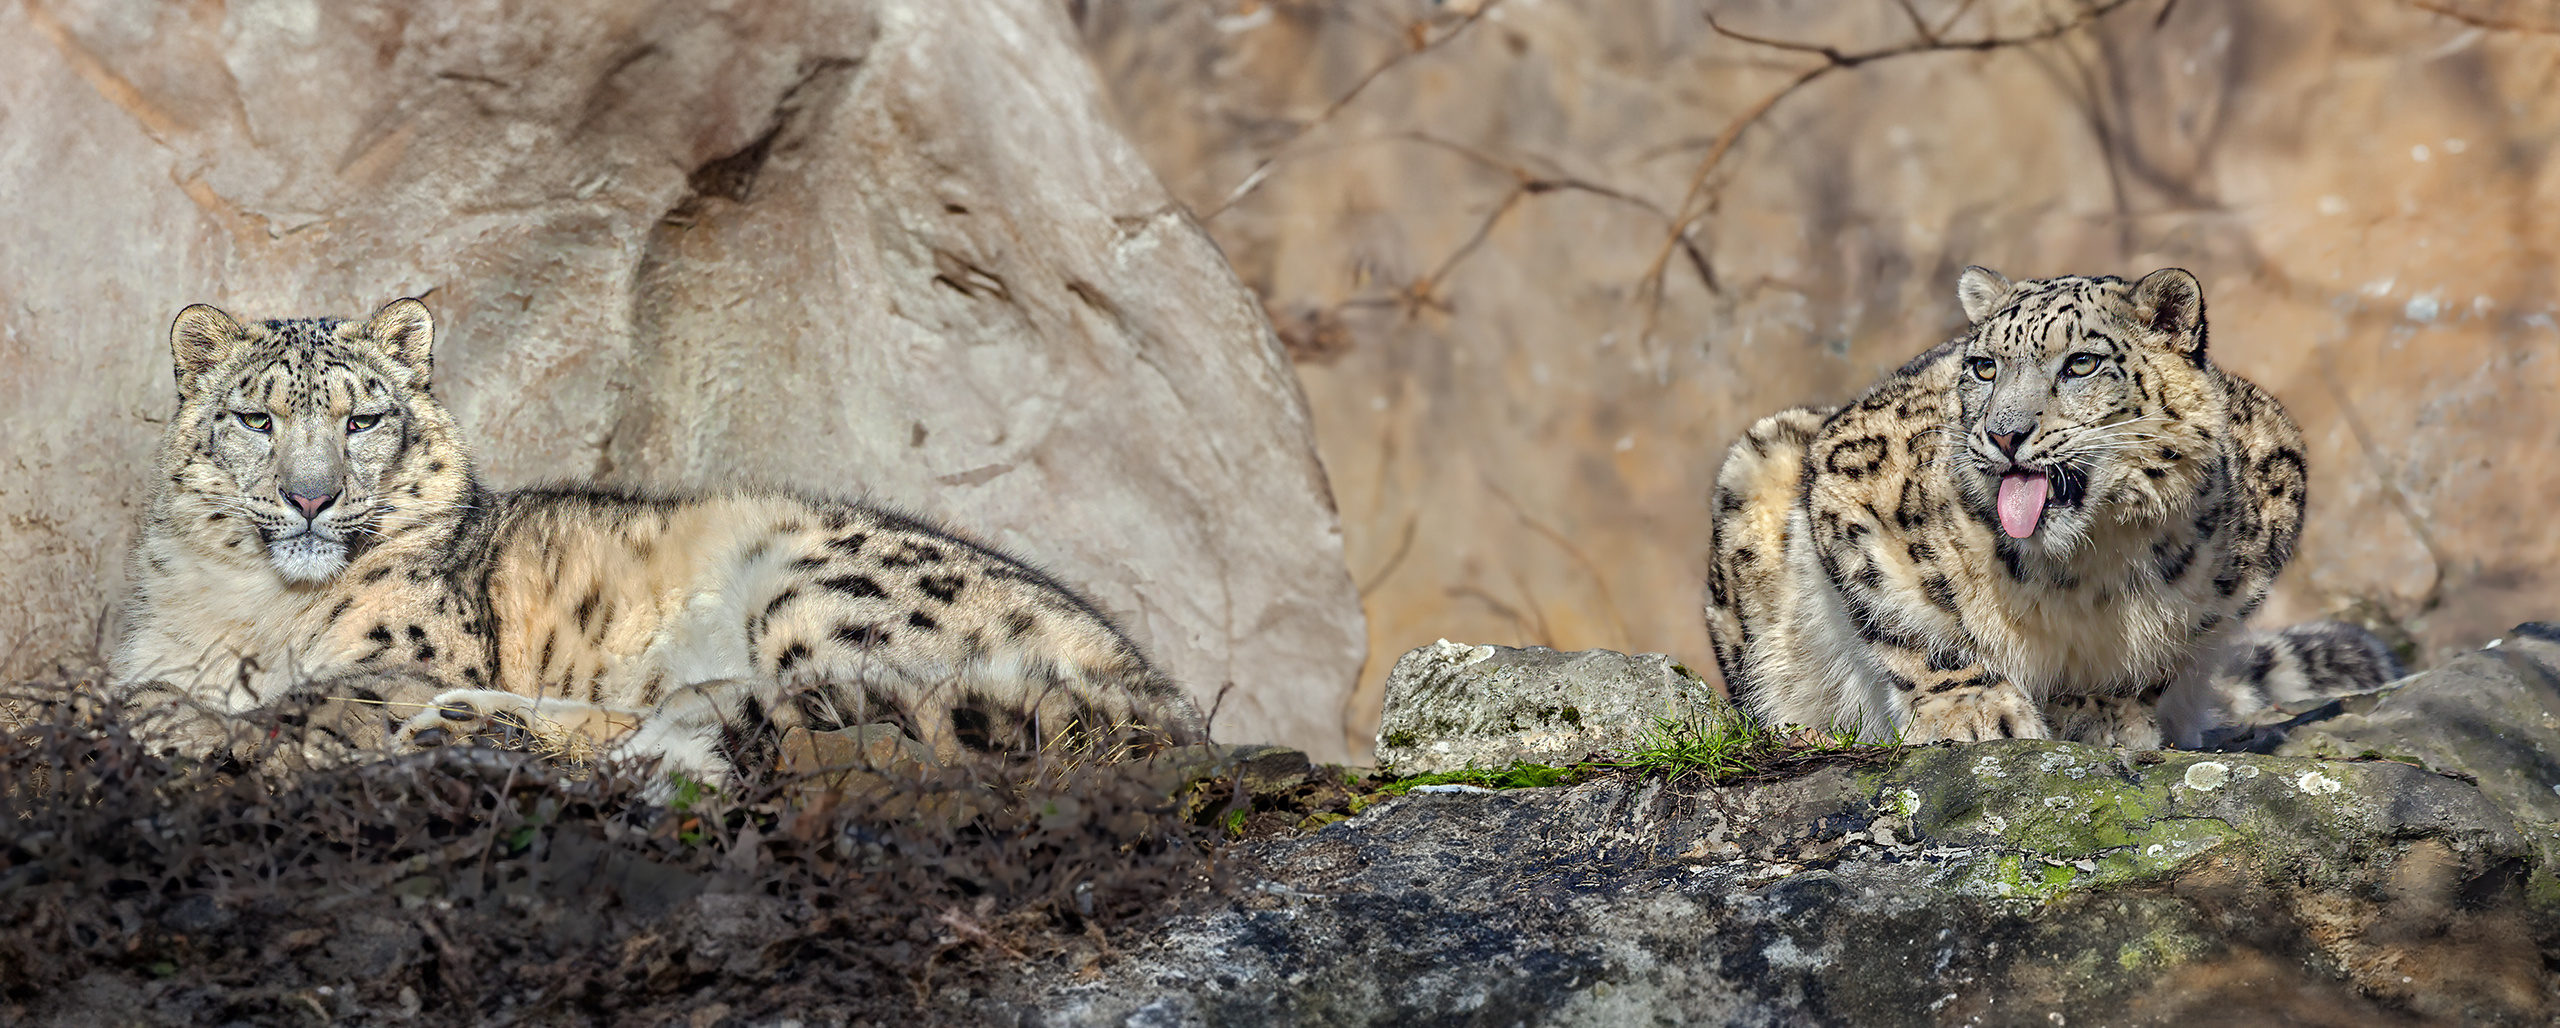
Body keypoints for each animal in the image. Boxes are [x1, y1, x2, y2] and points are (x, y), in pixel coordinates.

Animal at [110, 301, 1208, 782]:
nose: (309, 497)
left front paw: (197, 723)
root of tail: (1159, 687)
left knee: (776, 714)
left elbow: (334, 688)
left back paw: (471, 721)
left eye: (363, 419)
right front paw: (171, 706)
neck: (255, 607)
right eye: (257, 419)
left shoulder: (415, 651)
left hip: (813, 590)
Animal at [1699, 264, 2396, 746]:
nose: (2004, 433)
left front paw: (2105, 713)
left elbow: (2158, 659)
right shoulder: (1852, 476)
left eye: (2081, 362)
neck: (2089, 567)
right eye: (1983, 366)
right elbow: (1909, 624)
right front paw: (1975, 710)